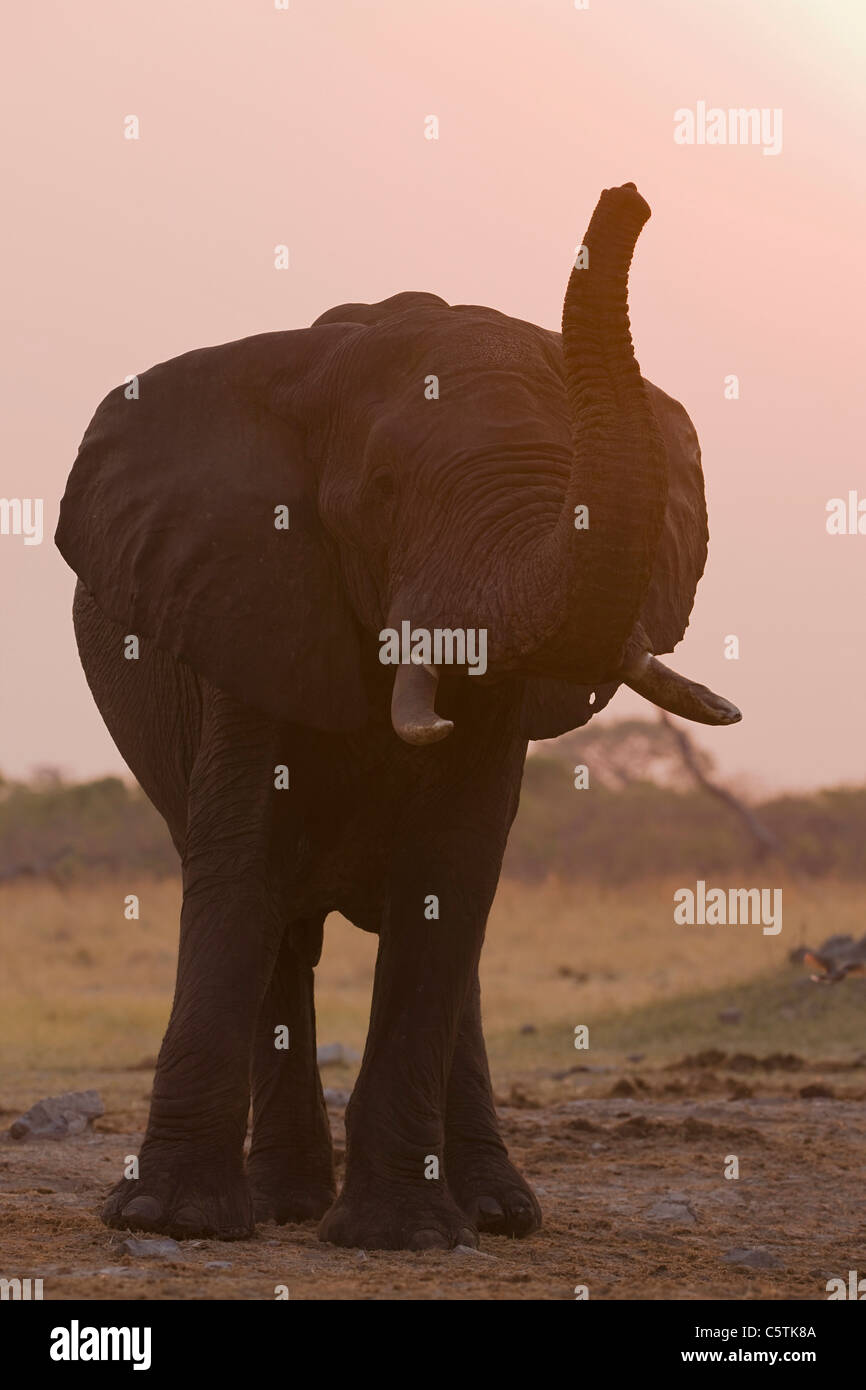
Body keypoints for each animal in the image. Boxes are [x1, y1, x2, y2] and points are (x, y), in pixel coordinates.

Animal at [55, 182, 740, 1250]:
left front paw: (404, 1234)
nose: (628, 196)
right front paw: (172, 1221)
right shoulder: (246, 601)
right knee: (282, 928)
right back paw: (287, 1207)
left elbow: (452, 869)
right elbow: (242, 861)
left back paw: (496, 1213)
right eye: (378, 496)